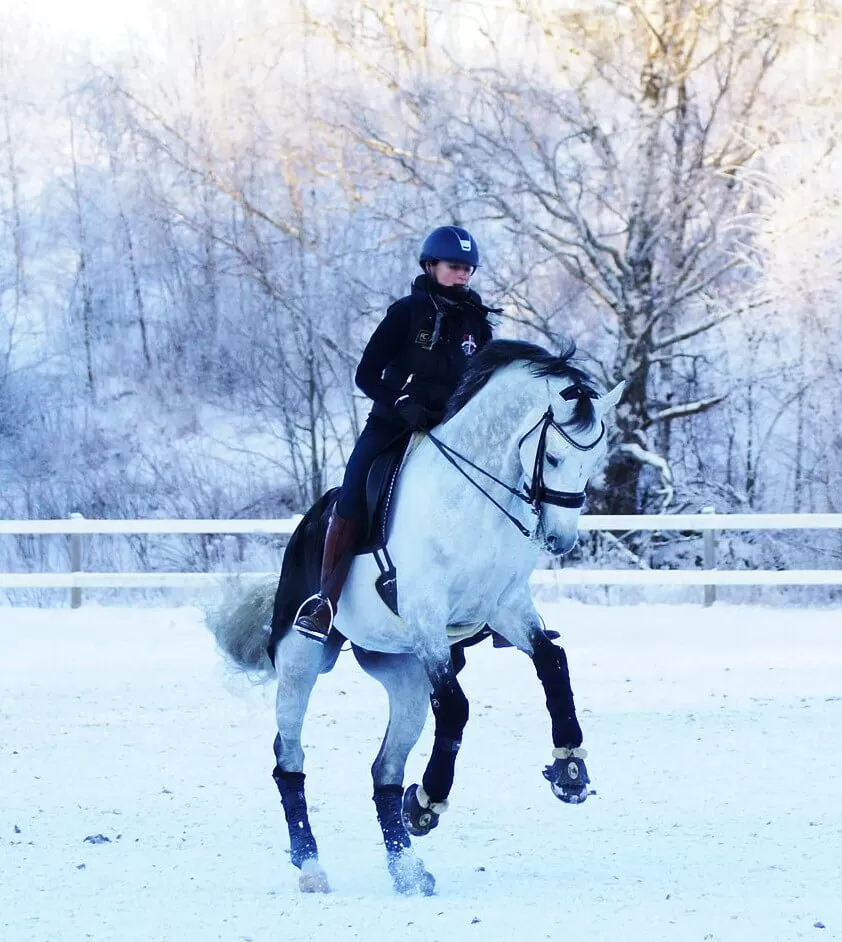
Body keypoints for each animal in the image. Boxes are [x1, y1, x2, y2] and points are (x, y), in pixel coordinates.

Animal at [206, 338, 620, 892]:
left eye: (594, 460)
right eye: (552, 455)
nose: (560, 540)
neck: (474, 499)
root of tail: (305, 528)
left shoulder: (505, 606)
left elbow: (553, 663)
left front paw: (570, 768)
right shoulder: (425, 616)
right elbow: (457, 707)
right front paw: (429, 800)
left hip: (401, 675)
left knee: (384, 769)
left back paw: (406, 868)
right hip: (301, 663)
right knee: (288, 758)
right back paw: (311, 864)